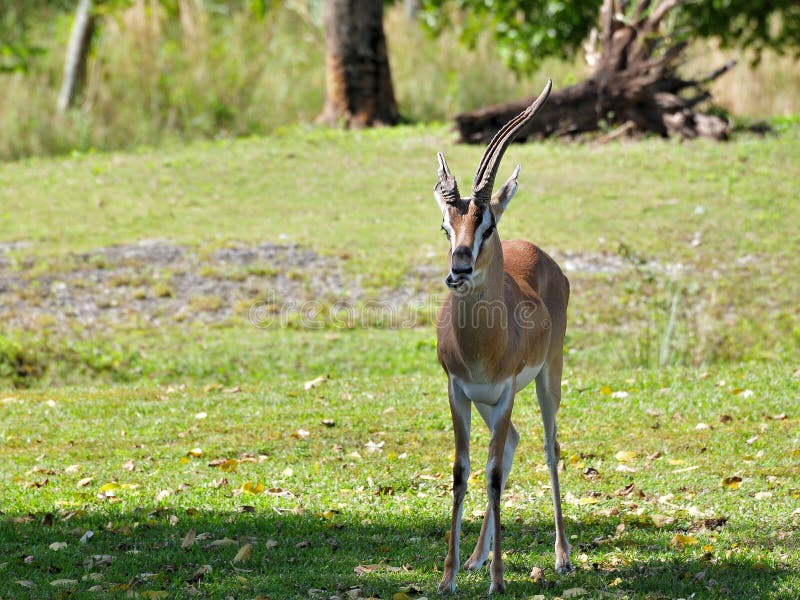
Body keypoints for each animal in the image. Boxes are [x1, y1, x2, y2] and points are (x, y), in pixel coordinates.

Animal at [433, 80, 572, 595]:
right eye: (446, 226)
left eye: (487, 225)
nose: (459, 268)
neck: (480, 347)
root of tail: (537, 251)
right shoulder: (458, 390)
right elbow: (463, 471)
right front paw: (450, 576)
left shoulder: (509, 389)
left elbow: (492, 474)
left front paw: (498, 580)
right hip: (489, 405)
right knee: (510, 443)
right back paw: (476, 557)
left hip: (546, 379)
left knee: (550, 450)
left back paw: (562, 557)